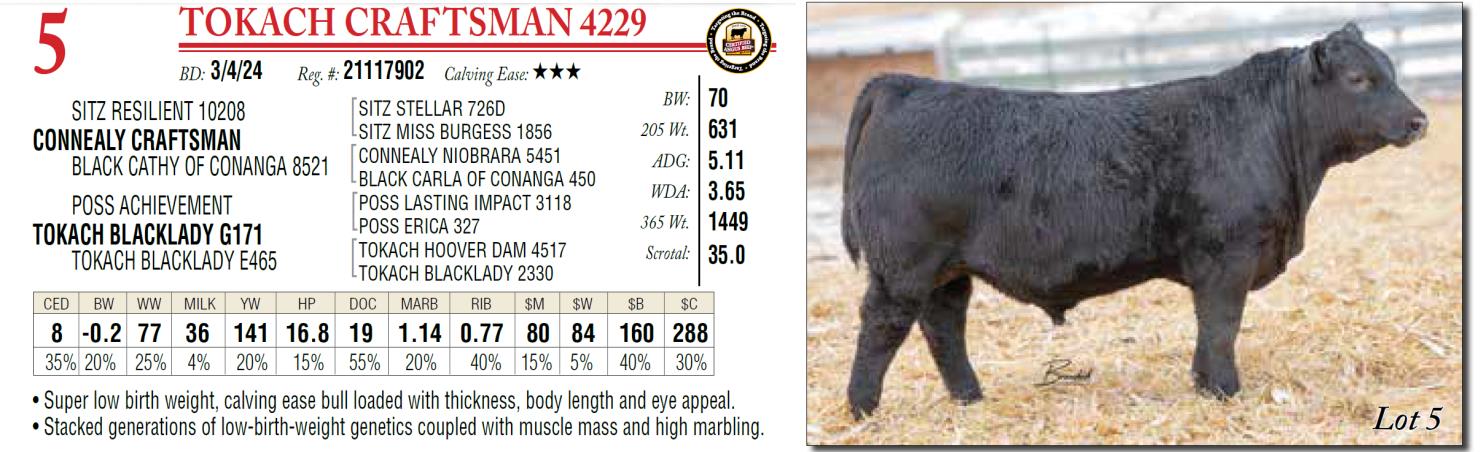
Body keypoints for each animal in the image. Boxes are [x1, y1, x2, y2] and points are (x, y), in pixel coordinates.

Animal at [839, 23, 1427, 419]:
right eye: (1358, 78)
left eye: (1391, 71)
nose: (1418, 120)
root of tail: (904, 83)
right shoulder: (1227, 254)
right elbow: (1221, 324)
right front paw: (1225, 391)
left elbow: (1209, 327)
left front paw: (1203, 385)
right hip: (904, 268)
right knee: (882, 326)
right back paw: (863, 410)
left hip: (947, 271)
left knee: (944, 328)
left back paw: (970, 400)